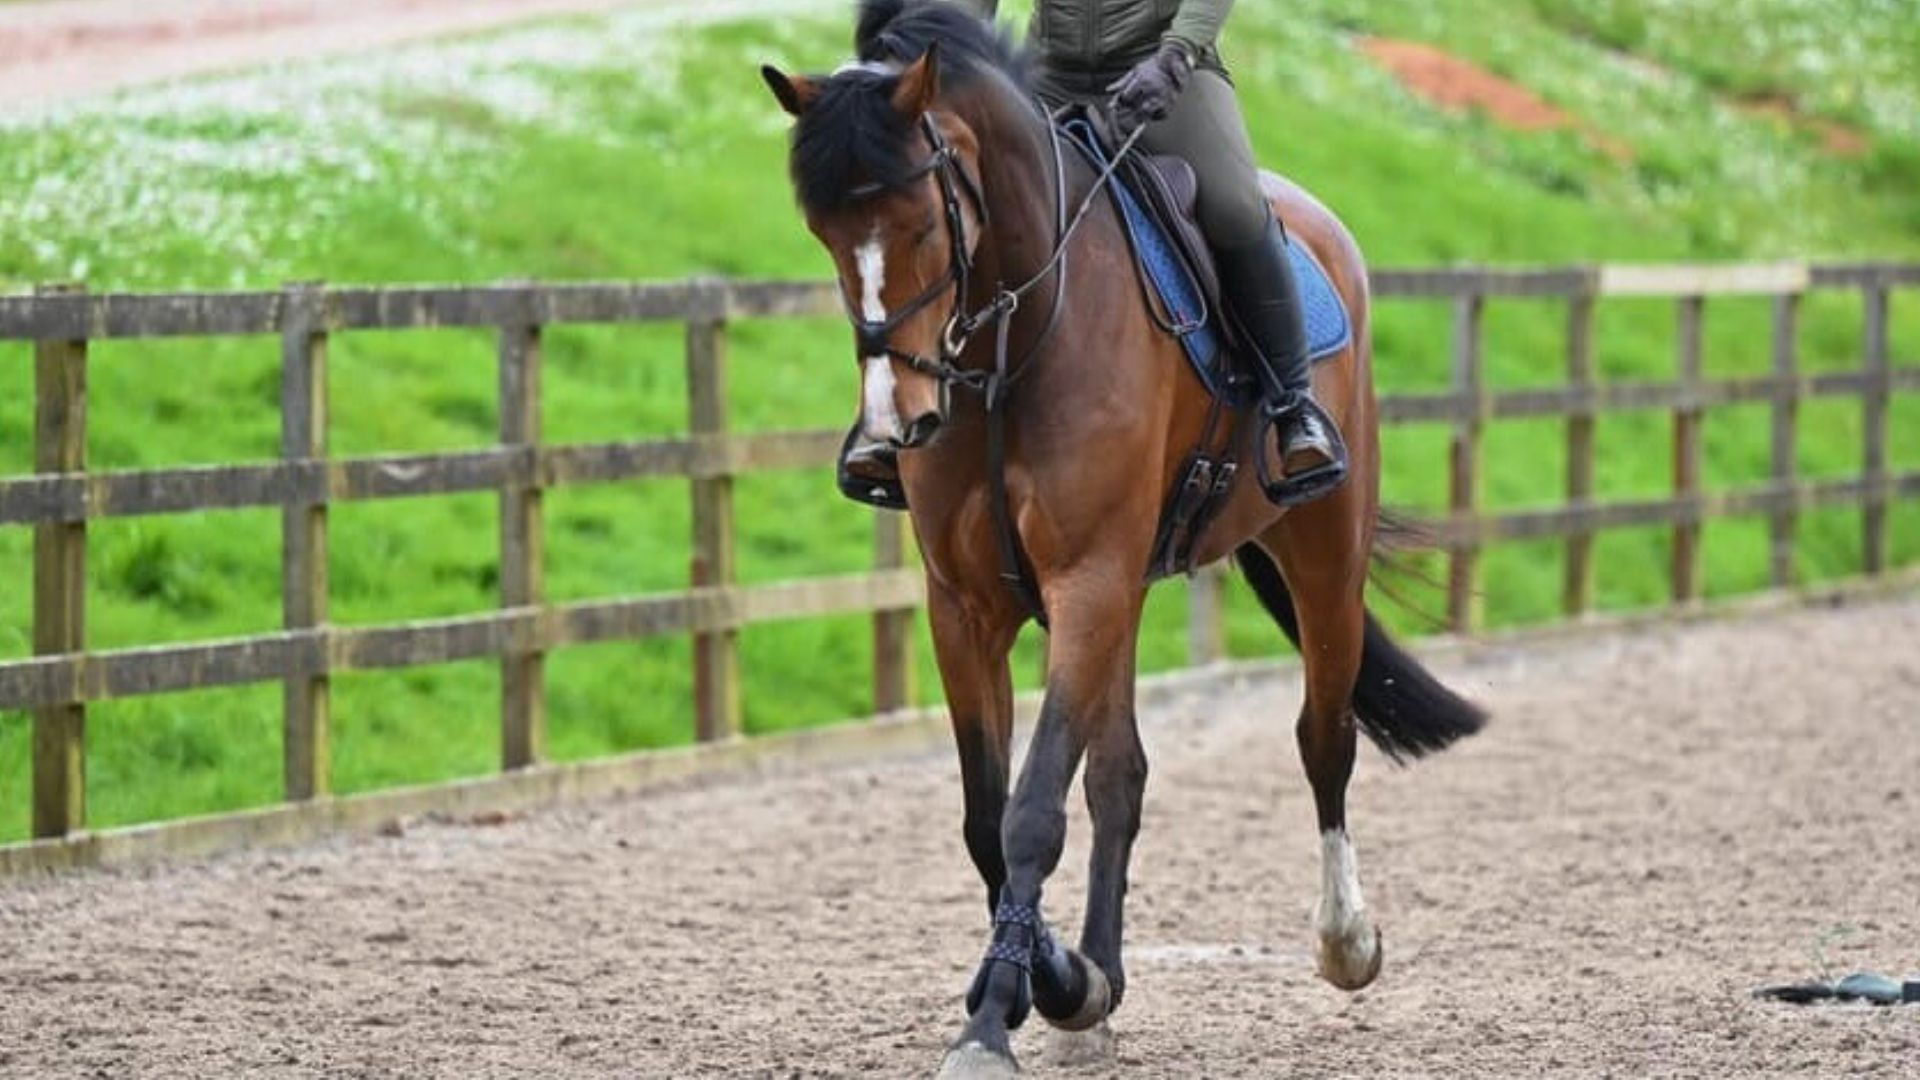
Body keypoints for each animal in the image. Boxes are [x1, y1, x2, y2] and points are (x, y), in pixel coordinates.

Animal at [762, 2, 1485, 1073]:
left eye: (923, 219)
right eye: (824, 233)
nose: (901, 421)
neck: (1014, 345)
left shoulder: (1088, 582)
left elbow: (1030, 812)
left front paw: (996, 1017)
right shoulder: (968, 606)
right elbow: (989, 818)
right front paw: (1052, 981)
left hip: (1320, 555)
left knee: (1323, 737)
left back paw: (1344, 940)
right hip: (1138, 587)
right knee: (1122, 776)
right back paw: (1095, 983)